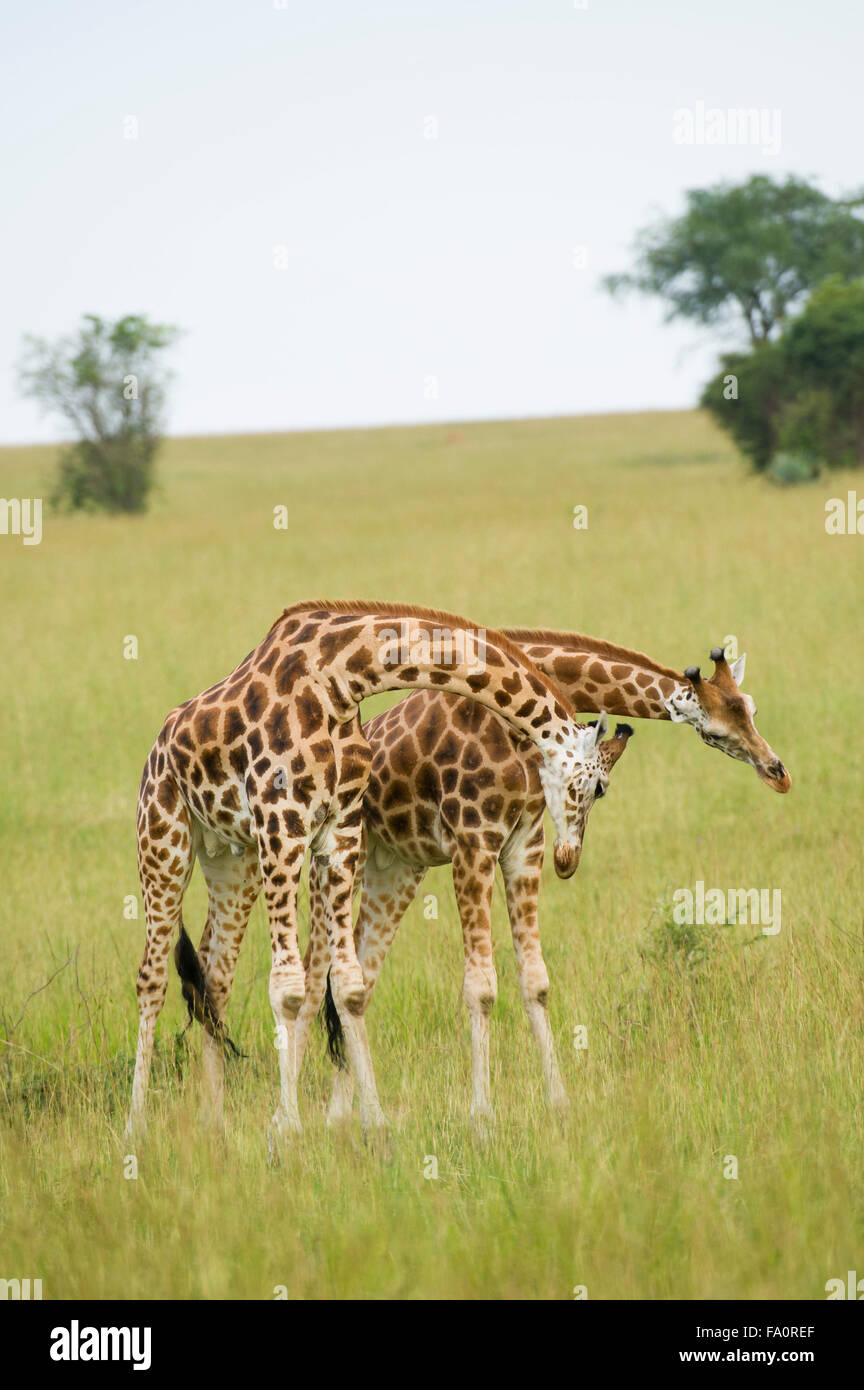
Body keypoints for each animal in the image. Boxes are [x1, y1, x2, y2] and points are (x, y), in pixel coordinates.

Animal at [127, 600, 602, 1144]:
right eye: (594, 787)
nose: (569, 858)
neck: (339, 681)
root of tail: (158, 746)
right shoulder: (283, 827)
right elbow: (288, 990)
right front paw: (287, 1132)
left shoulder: (340, 834)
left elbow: (349, 987)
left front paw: (374, 1125)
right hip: (163, 842)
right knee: (152, 978)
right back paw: (135, 1127)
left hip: (231, 859)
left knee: (214, 977)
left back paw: (213, 1124)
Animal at [299, 636, 789, 1122]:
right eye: (717, 731)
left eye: (751, 708)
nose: (778, 774)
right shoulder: (474, 842)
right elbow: (480, 988)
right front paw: (482, 1118)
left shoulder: (524, 846)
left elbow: (535, 981)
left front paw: (559, 1104)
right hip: (338, 867)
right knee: (312, 981)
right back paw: (303, 1125)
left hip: (395, 869)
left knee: (358, 981)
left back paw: (346, 1118)